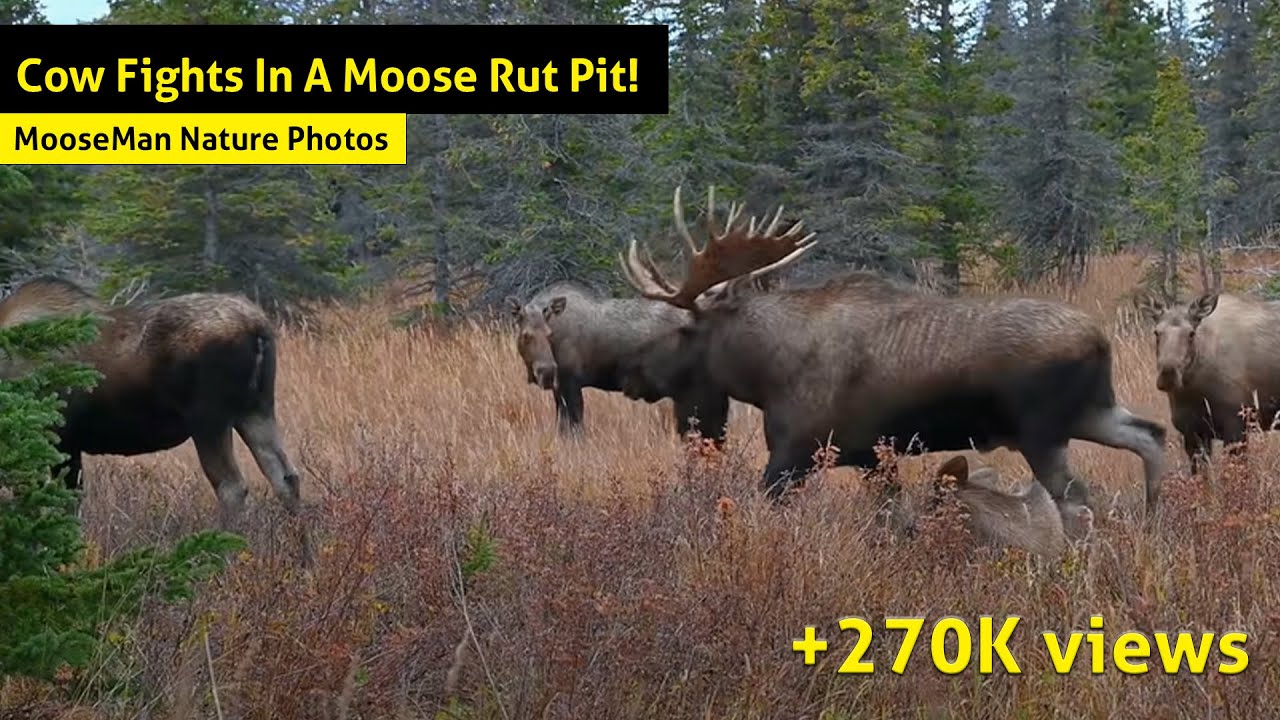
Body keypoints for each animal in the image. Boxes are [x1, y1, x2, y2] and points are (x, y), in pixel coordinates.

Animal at [614, 186, 1168, 515]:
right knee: (1151, 435)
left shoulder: (795, 452)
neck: (764, 372)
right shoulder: (870, 458)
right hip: (1089, 411)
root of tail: (1100, 340)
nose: (635, 375)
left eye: (682, 330)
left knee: (1079, 497)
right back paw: (1154, 513)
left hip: (1043, 431)